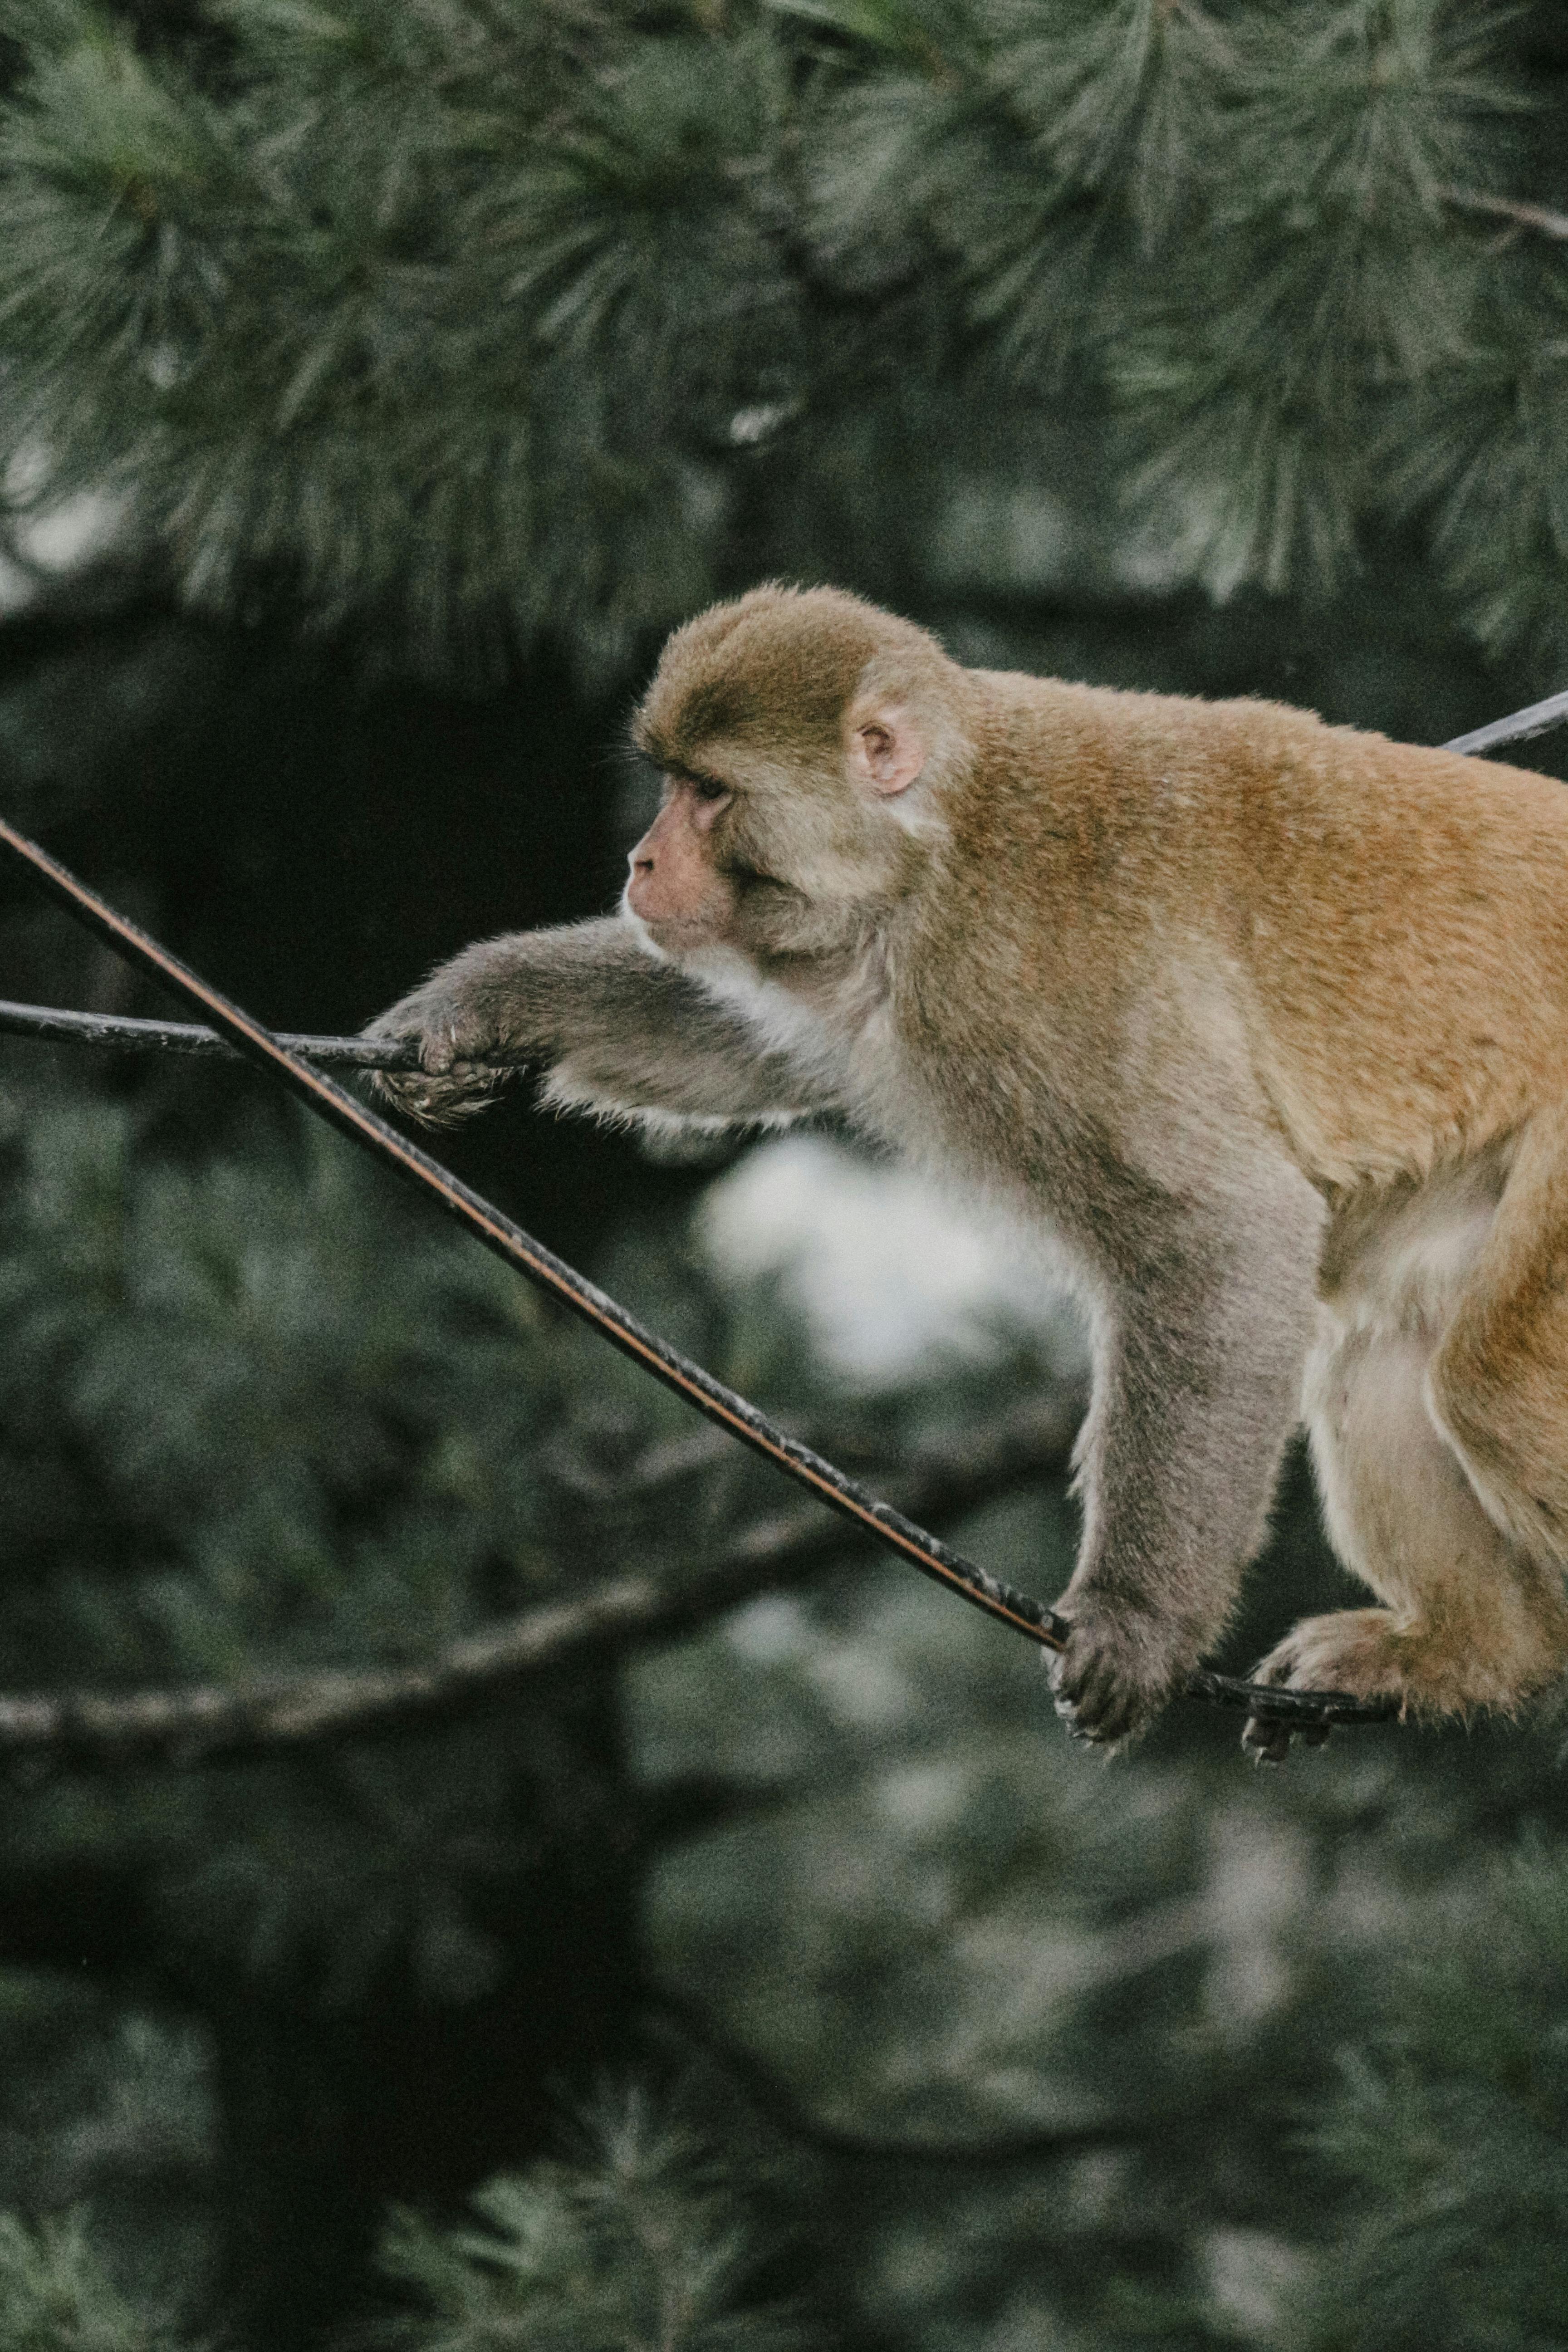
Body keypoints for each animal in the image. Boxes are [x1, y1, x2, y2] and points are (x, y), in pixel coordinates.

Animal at [366, 582, 1568, 1759]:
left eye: (706, 793)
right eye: (668, 785)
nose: (641, 865)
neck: (944, 840)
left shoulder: (1038, 974)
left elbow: (1225, 1229)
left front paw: (1138, 1618)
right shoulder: (860, 960)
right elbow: (743, 1037)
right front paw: (479, 1008)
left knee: (1489, 1383)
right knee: (1390, 1354)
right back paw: (1470, 1655)